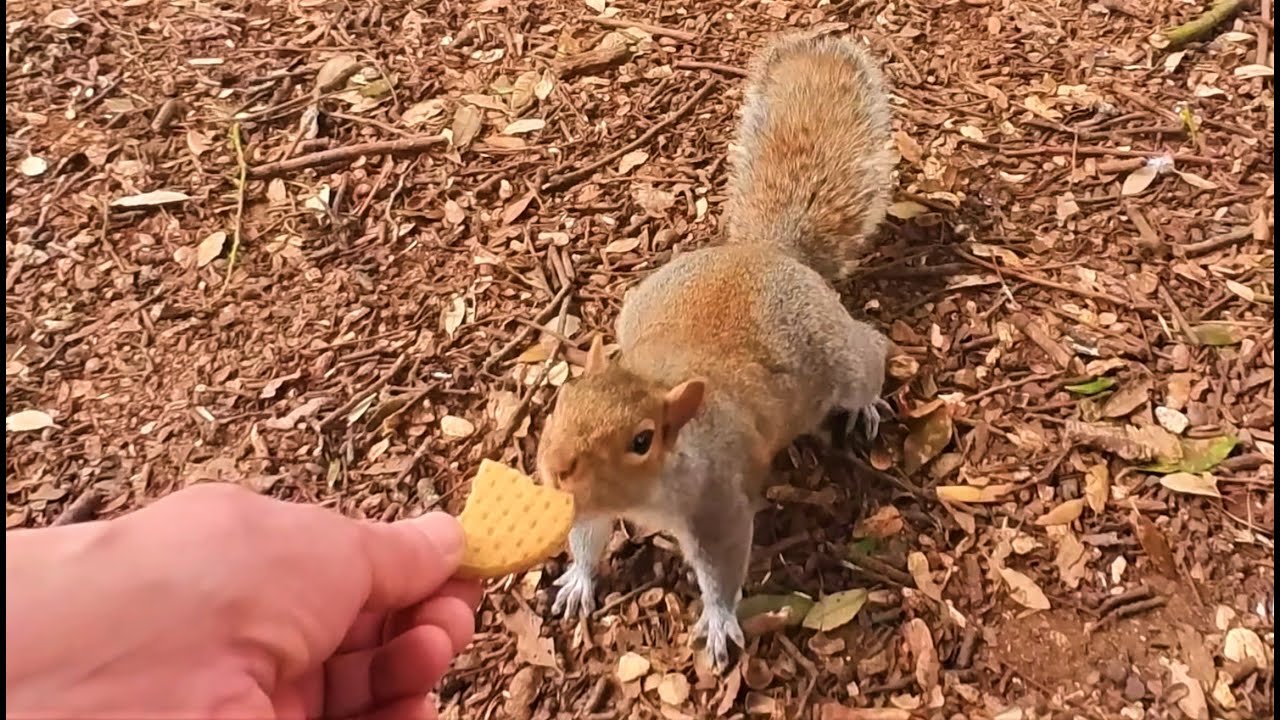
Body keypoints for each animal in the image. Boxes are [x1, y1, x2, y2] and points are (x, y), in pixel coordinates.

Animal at [535, 32, 895, 671]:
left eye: (641, 441)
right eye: (564, 400)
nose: (556, 467)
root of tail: (764, 253)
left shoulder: (718, 502)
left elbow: (723, 566)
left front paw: (720, 620)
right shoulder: (590, 504)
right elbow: (587, 535)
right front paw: (578, 578)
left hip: (837, 353)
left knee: (868, 353)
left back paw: (867, 403)